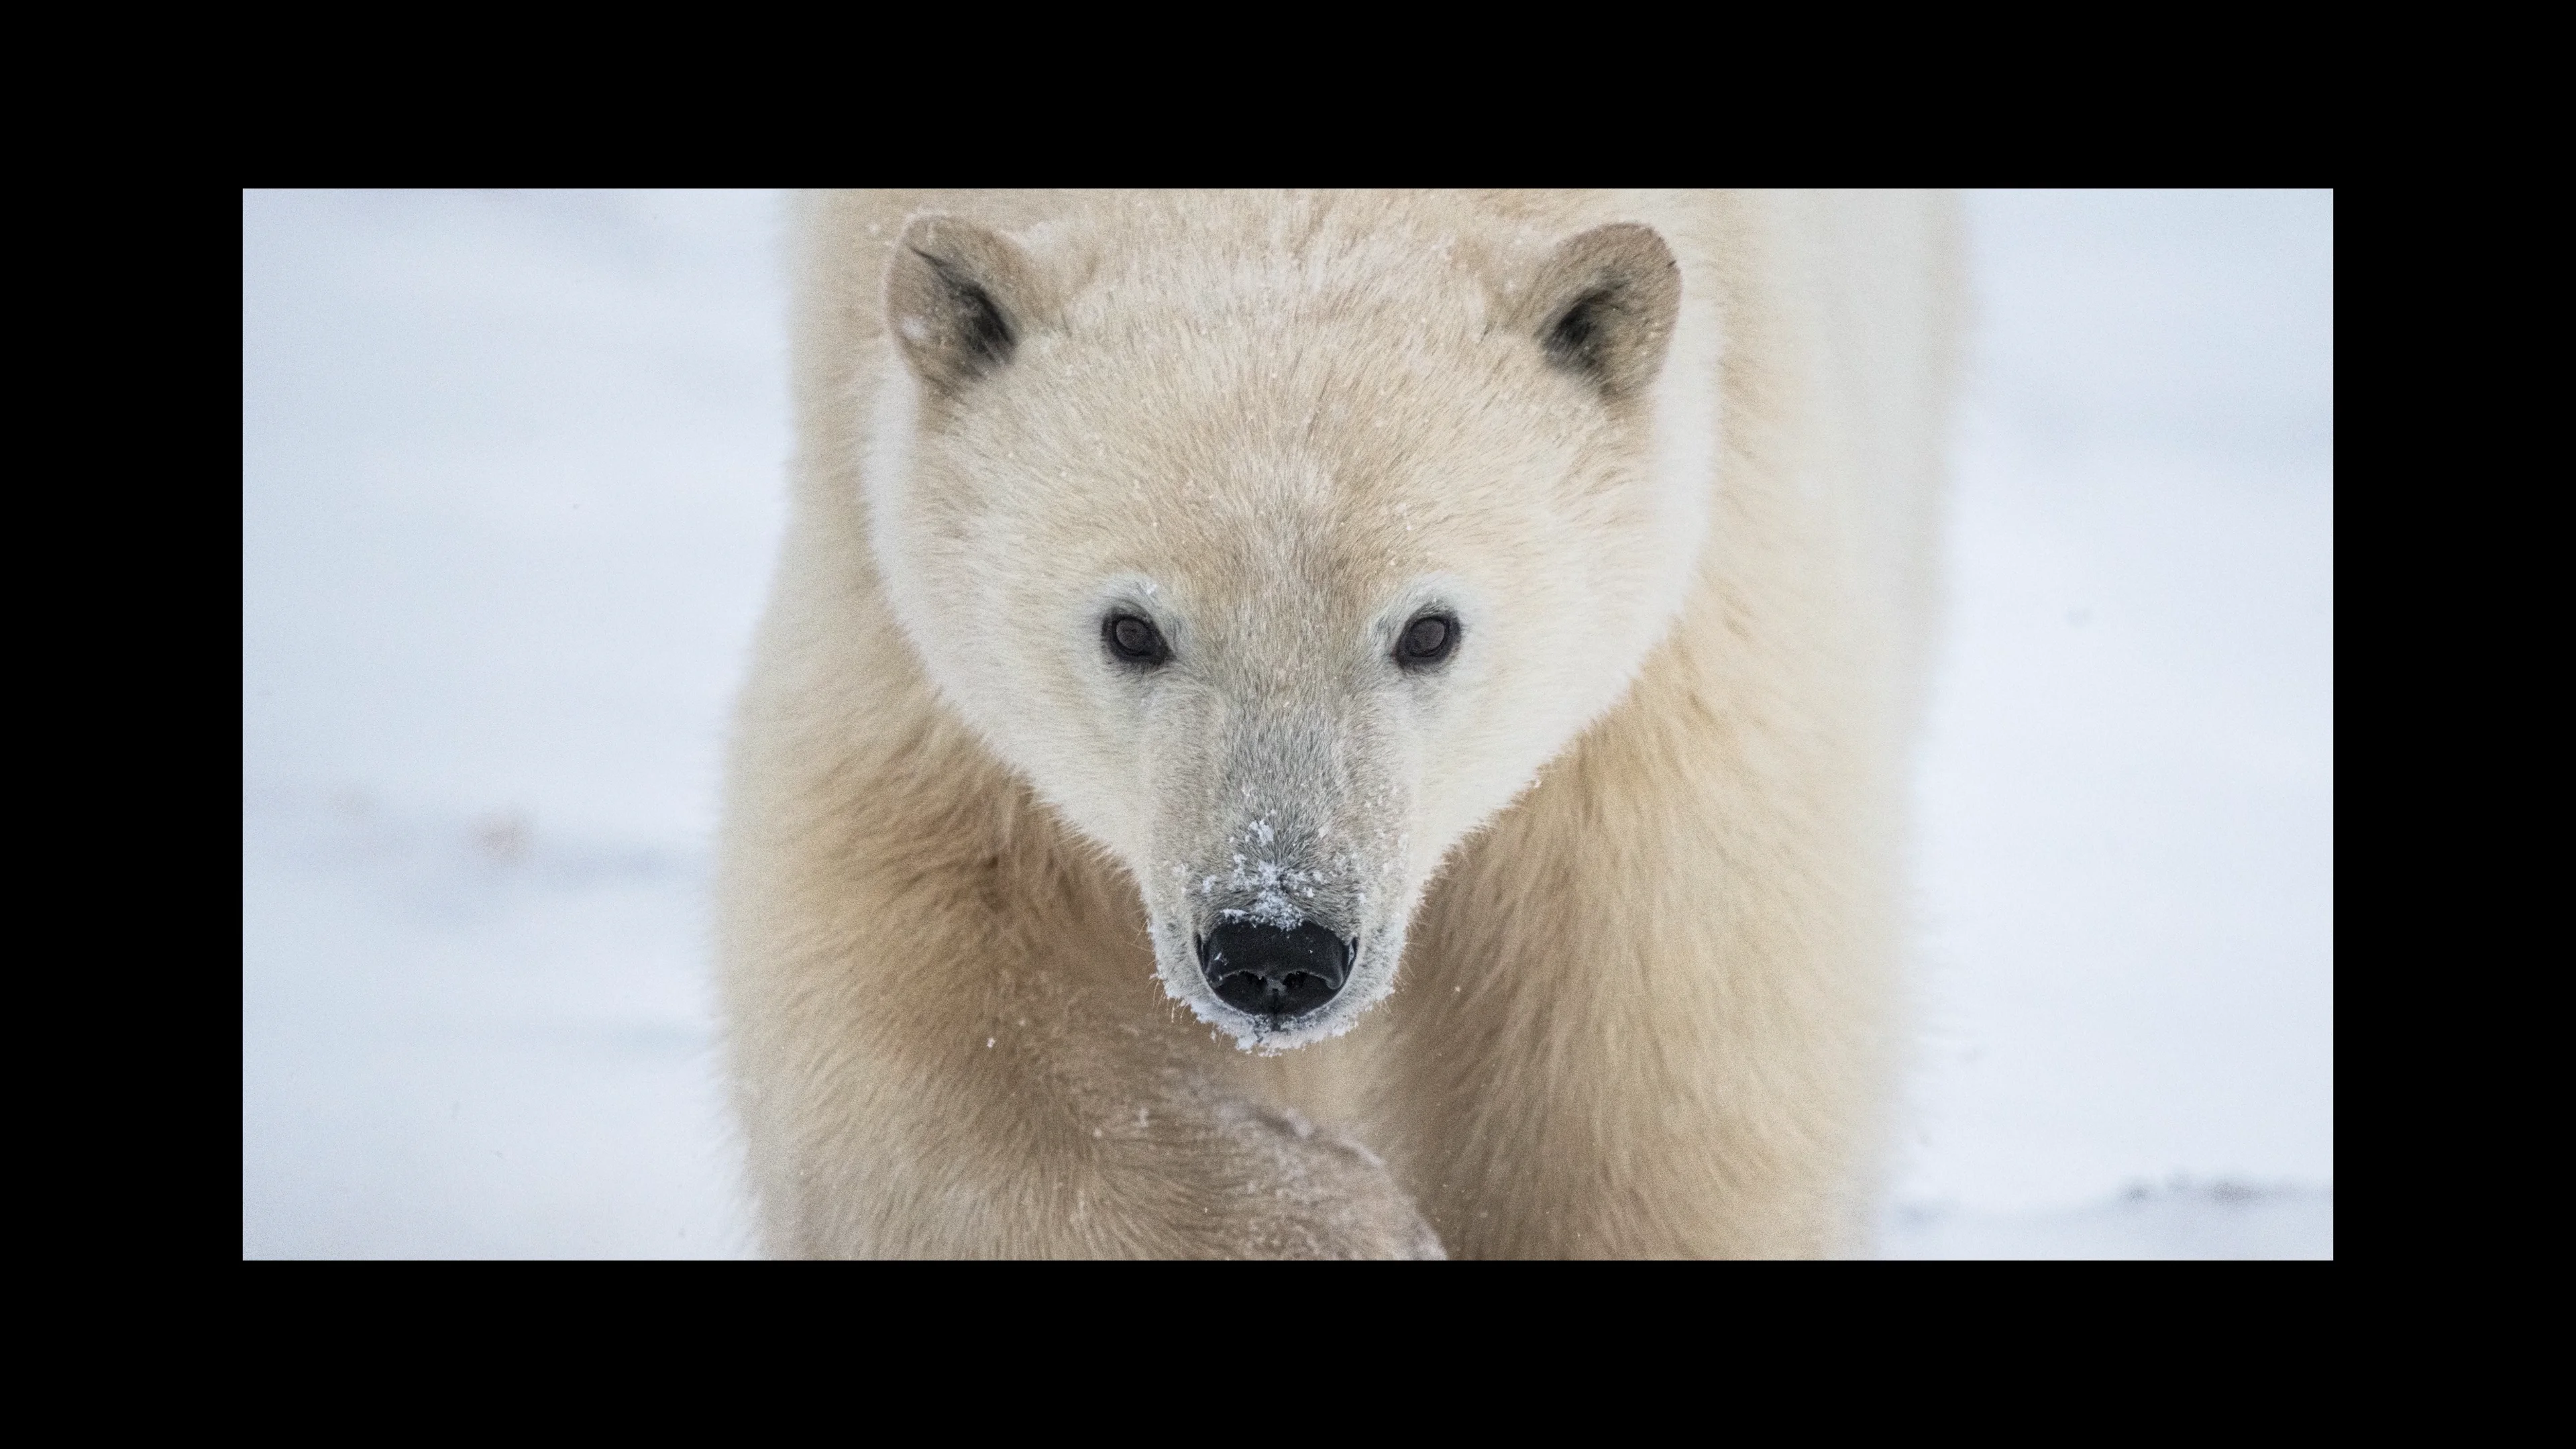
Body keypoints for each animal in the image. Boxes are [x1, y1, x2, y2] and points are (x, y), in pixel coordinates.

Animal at [718, 190, 1959, 1258]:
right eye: (1132, 630)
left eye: (1429, 630)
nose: (1276, 950)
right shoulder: (907, 646)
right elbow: (913, 1009)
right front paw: (1343, 1226)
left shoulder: (1689, 644)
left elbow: (1655, 1074)